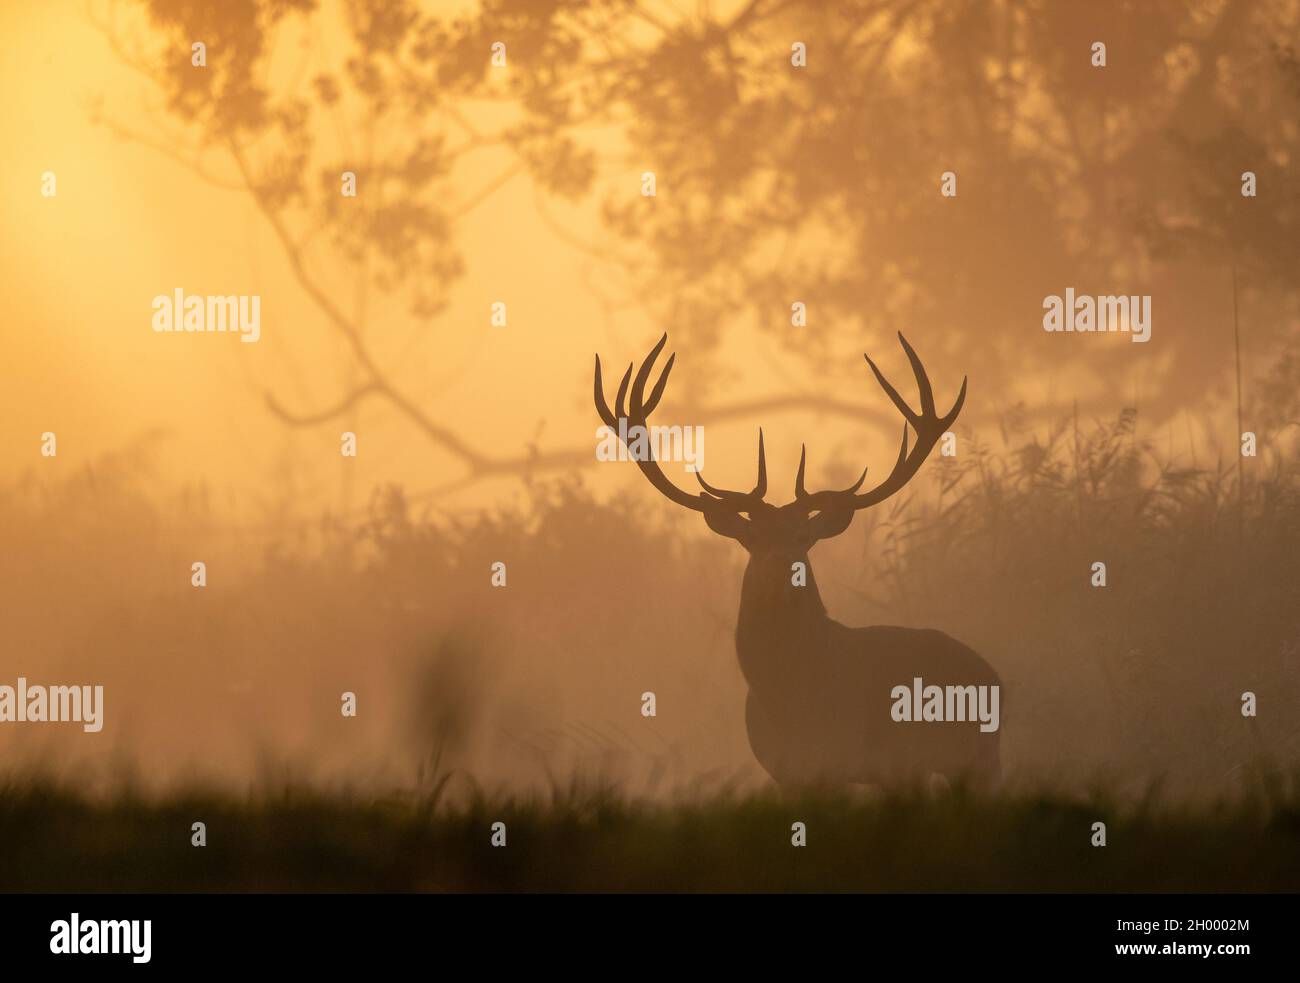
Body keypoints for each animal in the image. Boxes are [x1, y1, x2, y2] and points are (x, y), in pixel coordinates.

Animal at [594, 333, 1001, 788]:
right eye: (751, 536)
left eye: (805, 537)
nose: (784, 566)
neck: (791, 703)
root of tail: (994, 677)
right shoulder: (783, 769)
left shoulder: (861, 758)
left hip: (978, 755)